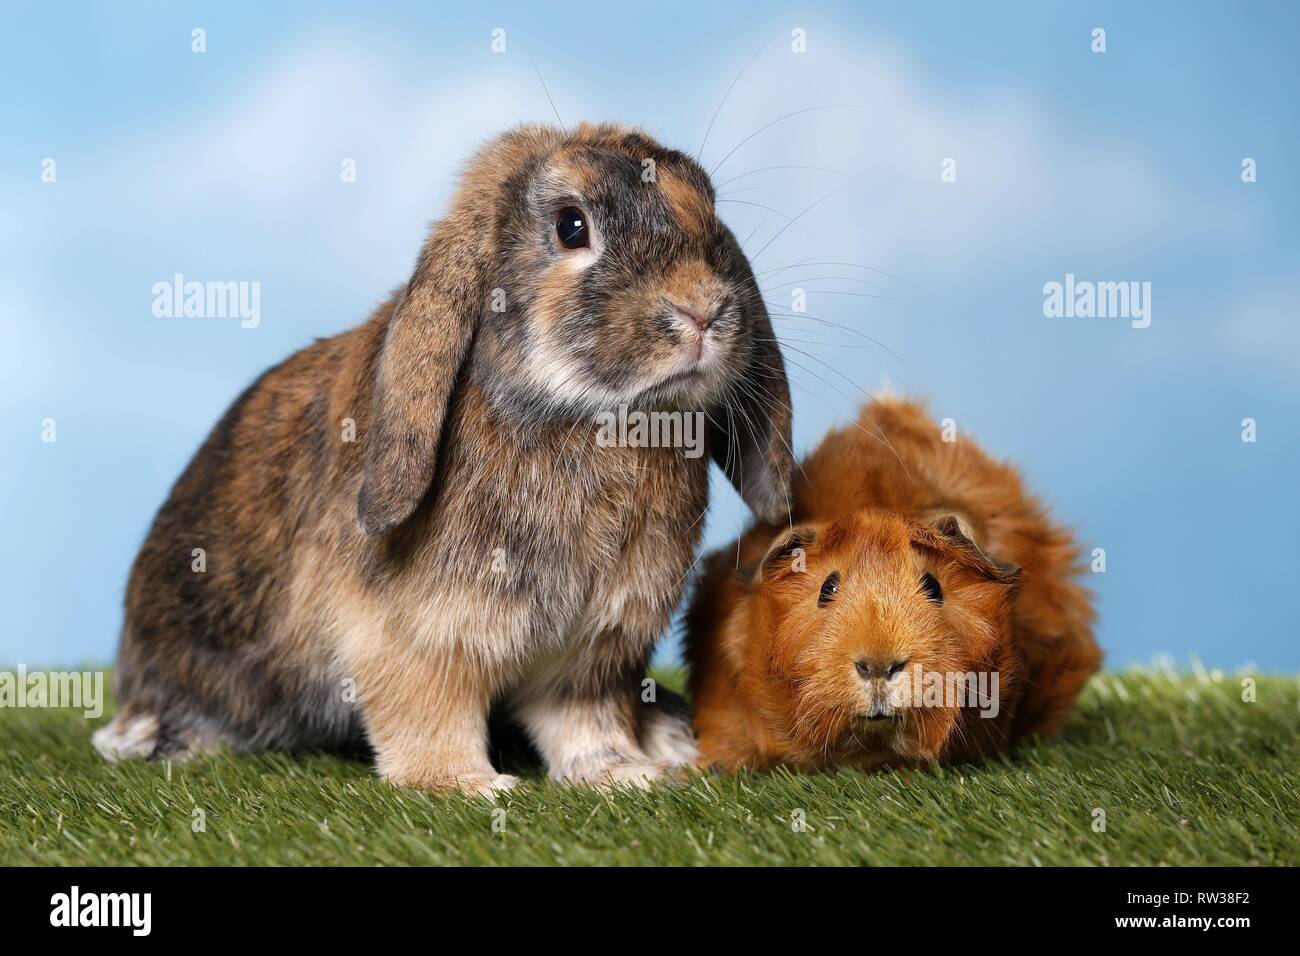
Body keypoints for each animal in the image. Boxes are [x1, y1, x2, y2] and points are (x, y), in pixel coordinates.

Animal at [94, 123, 793, 796]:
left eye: (708, 209)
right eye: (572, 225)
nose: (704, 310)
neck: (594, 420)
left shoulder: (590, 655)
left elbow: (583, 724)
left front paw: (623, 775)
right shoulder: (417, 640)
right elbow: (430, 716)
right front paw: (468, 786)